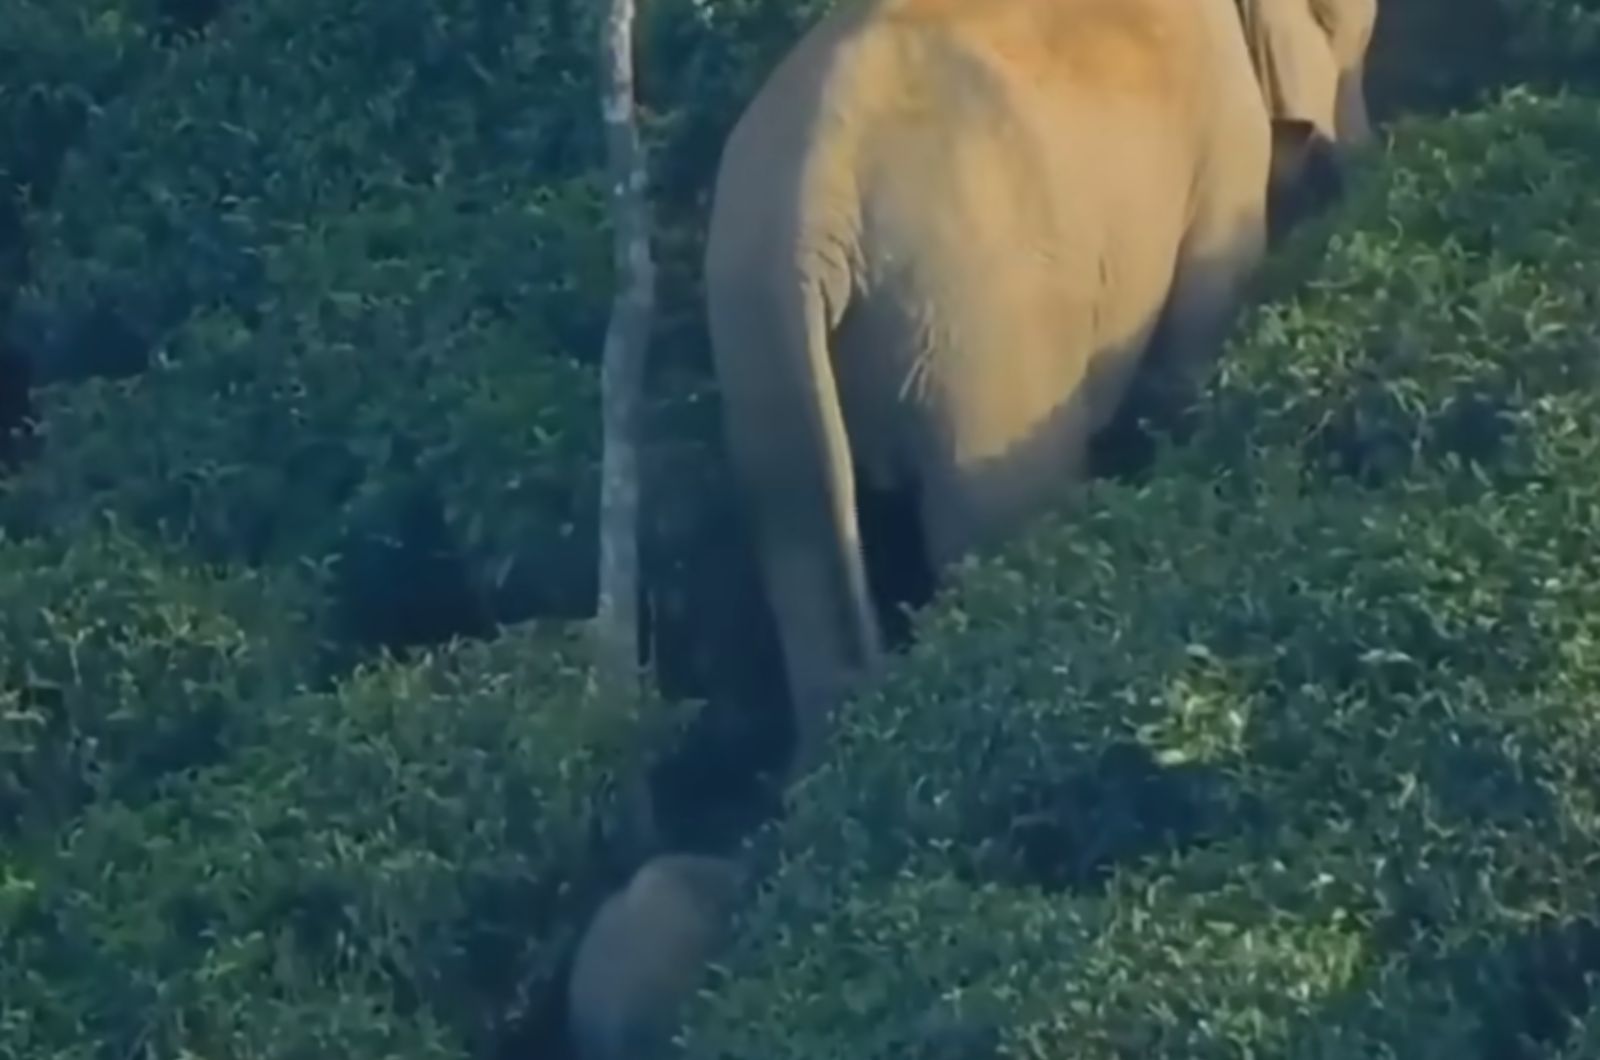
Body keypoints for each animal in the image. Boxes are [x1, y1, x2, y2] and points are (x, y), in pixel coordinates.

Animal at [705, 0, 1379, 777]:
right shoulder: (1224, 137)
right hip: (979, 323)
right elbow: (1199, 327)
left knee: (800, 547)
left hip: (757, 338)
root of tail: (815, 204)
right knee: (997, 518)